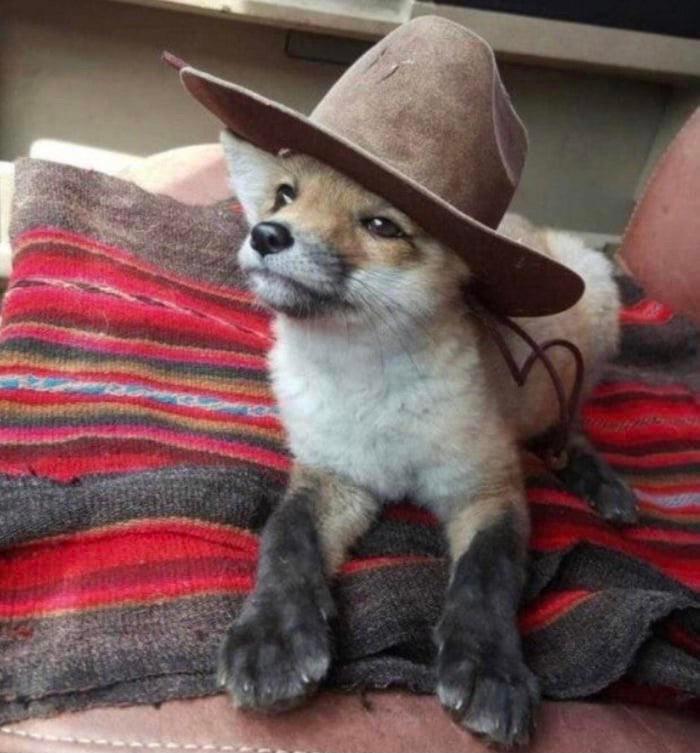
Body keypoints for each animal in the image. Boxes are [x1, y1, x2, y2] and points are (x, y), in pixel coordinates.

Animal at [216, 129, 638, 747]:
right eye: (285, 195)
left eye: (382, 226)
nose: (267, 234)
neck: (373, 404)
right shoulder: (333, 474)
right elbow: (285, 539)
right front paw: (272, 633)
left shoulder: (488, 487)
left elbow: (487, 576)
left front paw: (489, 667)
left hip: (596, 326)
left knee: (569, 427)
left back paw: (598, 481)